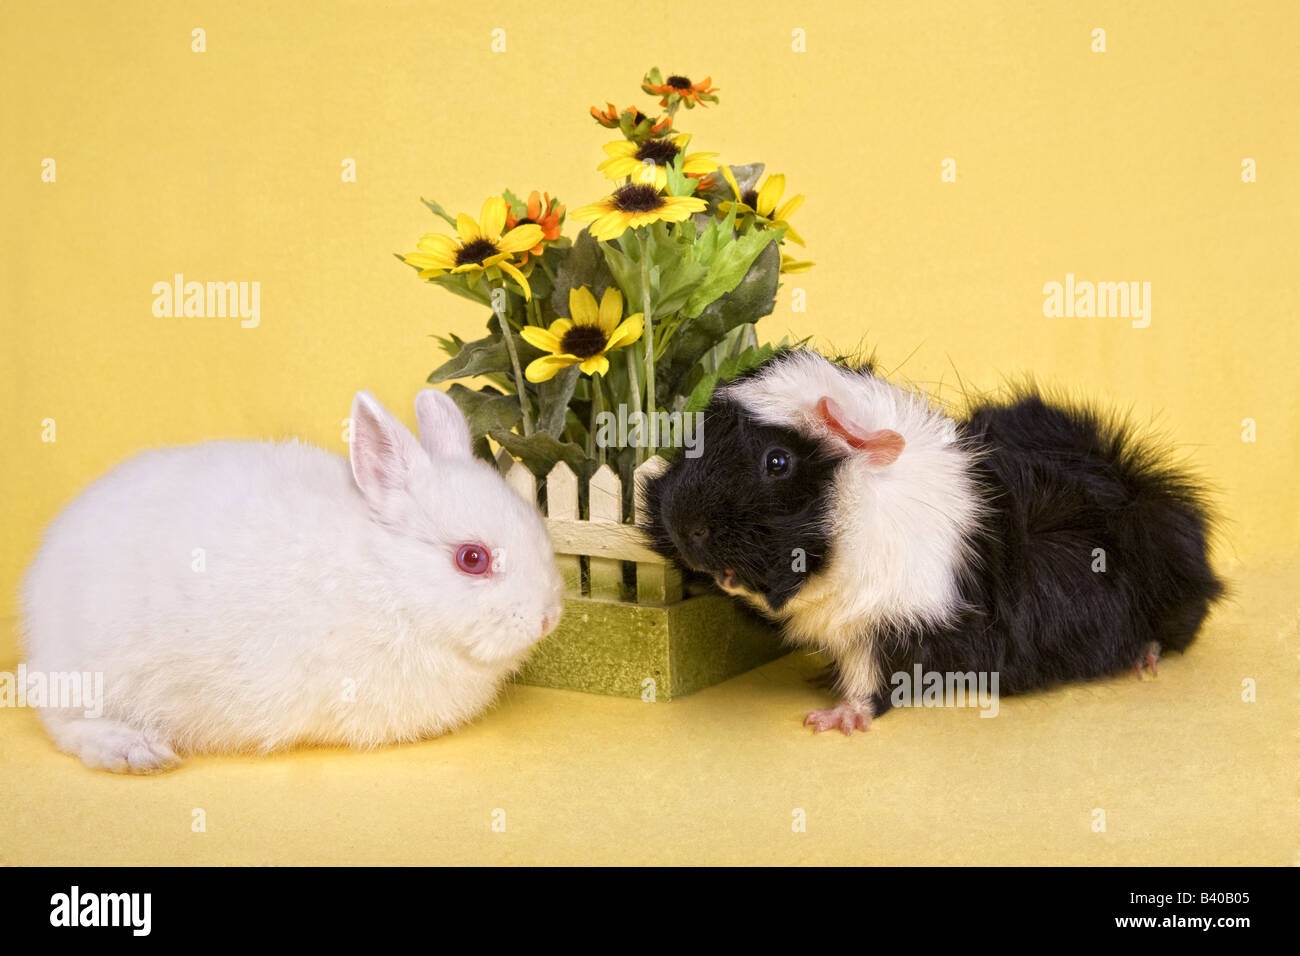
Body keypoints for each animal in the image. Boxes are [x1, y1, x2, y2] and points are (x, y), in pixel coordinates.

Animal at [20, 389, 565, 772]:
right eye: (472, 559)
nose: (548, 617)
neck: (388, 579)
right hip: (92, 674)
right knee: (61, 723)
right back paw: (134, 752)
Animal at [643, 349, 1224, 734]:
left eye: (777, 461)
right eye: (698, 439)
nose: (681, 525)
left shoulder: (895, 624)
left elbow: (872, 682)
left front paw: (830, 720)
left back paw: (1144, 661)